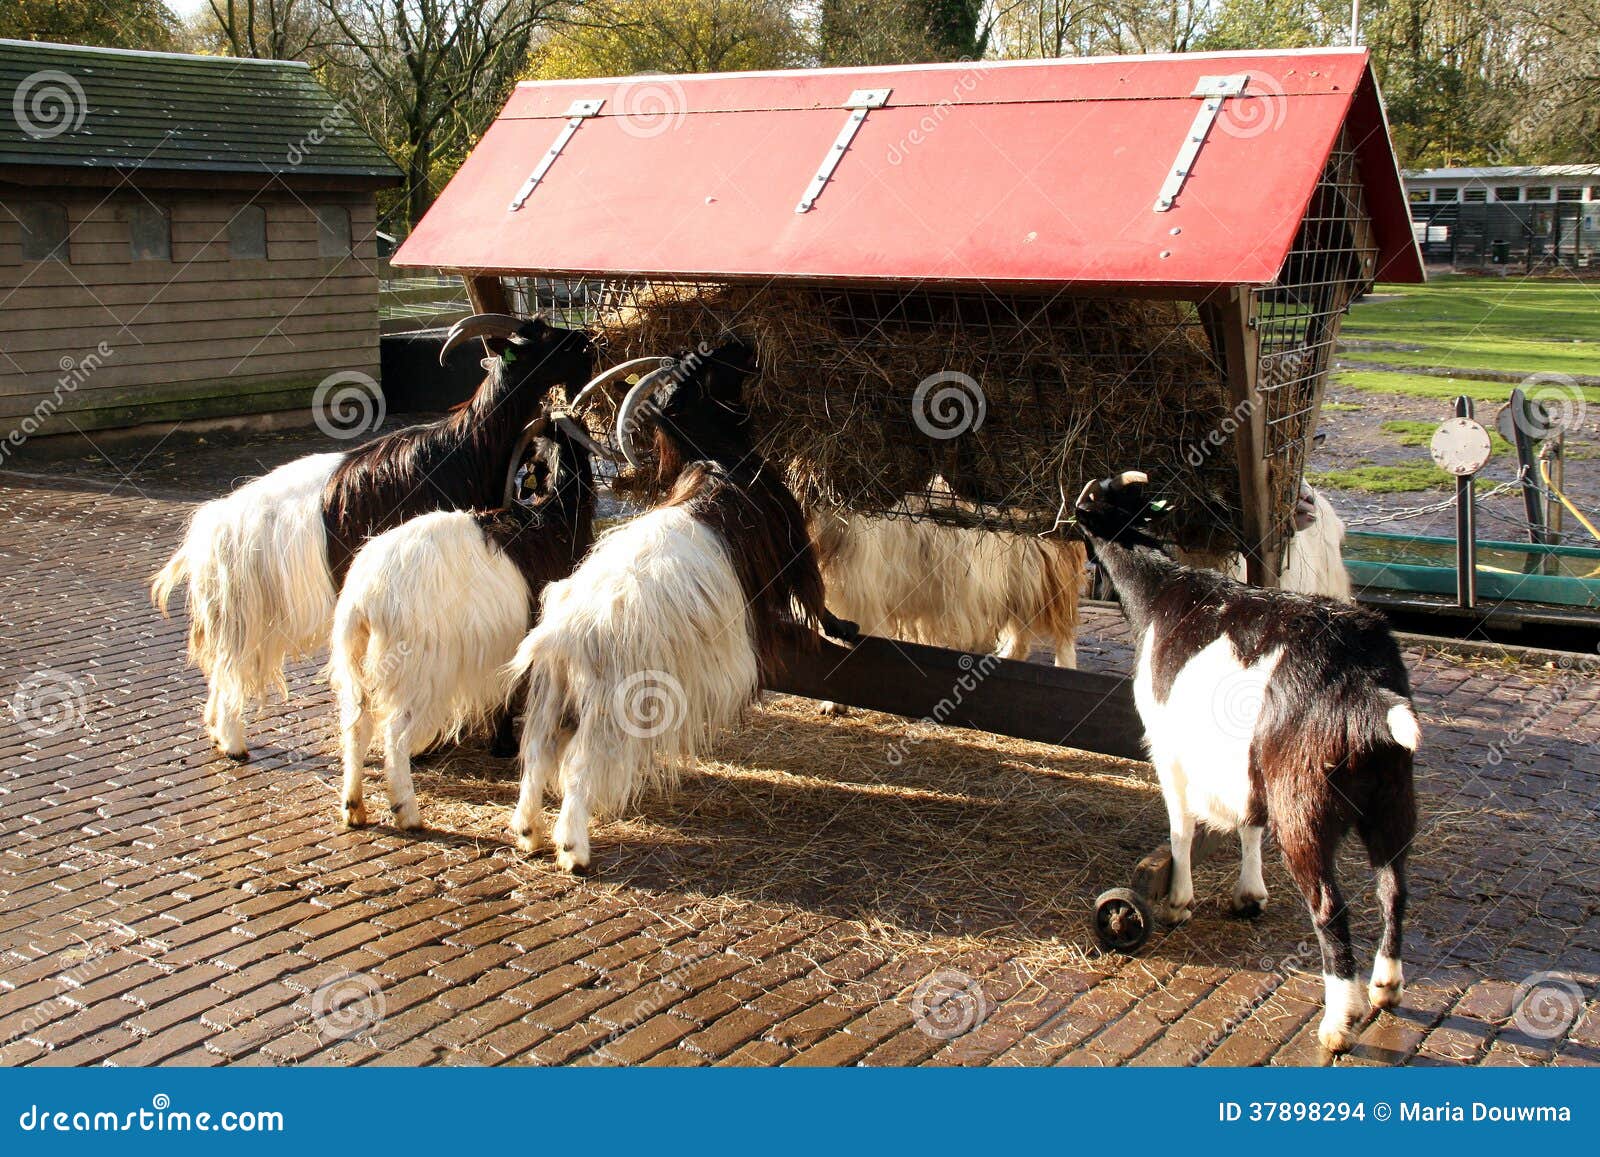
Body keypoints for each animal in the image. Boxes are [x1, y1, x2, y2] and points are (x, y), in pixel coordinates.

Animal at [151, 315, 597, 760]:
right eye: (542, 338)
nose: (587, 344)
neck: (462, 450)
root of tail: (208, 534)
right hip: (244, 615)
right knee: (230, 669)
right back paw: (233, 742)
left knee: (218, 671)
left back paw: (216, 732)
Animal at [327, 412, 606, 830]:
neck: (554, 514)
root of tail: (365, 598)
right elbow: (511, 693)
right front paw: (504, 744)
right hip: (419, 668)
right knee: (394, 733)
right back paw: (407, 812)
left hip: (354, 660)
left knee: (356, 725)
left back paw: (354, 807)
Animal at [506, 341, 856, 873]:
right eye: (711, 361)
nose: (748, 347)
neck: (719, 462)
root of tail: (563, 637)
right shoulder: (794, 547)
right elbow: (815, 600)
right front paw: (845, 628)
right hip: (615, 706)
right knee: (581, 766)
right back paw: (573, 849)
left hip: (552, 695)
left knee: (538, 754)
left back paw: (529, 832)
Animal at [1075, 470, 1418, 1054]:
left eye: (1094, 497)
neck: (1160, 594)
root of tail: (1365, 689)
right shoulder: (1244, 766)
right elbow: (1249, 823)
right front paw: (1249, 894)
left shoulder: (1168, 749)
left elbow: (1181, 828)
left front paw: (1177, 900)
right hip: (1393, 797)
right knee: (1393, 888)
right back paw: (1385, 986)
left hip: (1304, 809)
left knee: (1330, 906)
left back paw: (1338, 1022)